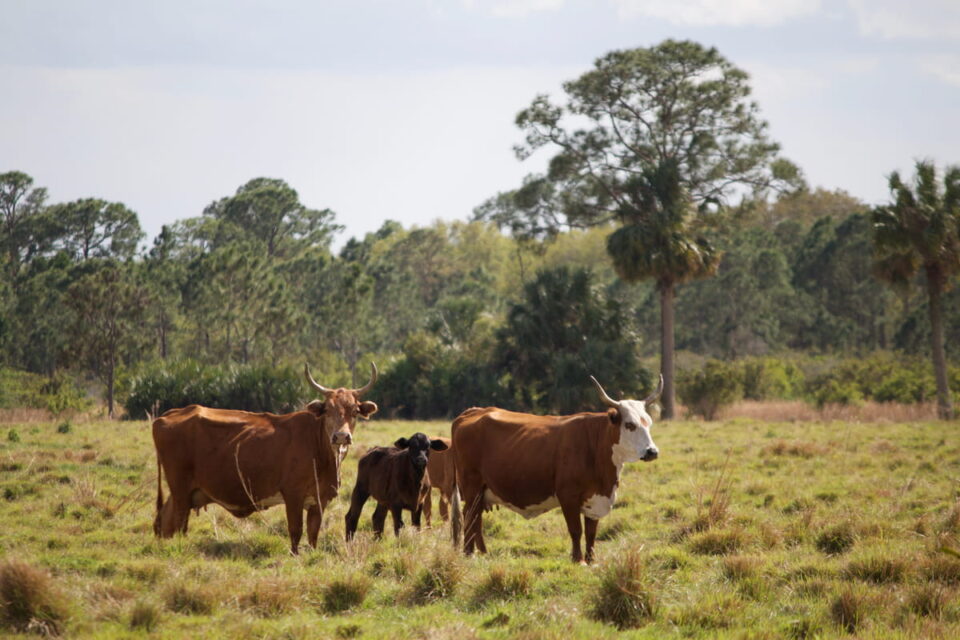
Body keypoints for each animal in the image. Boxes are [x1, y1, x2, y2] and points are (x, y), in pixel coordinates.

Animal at [152, 363, 378, 554]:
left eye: (354, 411)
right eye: (328, 410)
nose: (341, 436)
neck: (321, 454)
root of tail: (170, 414)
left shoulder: (320, 499)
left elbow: (313, 534)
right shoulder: (293, 495)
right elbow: (295, 530)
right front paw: (295, 555)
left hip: (186, 492)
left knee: (165, 523)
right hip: (181, 490)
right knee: (178, 522)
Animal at [451, 374, 662, 563]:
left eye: (649, 423)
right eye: (630, 425)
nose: (652, 451)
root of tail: (474, 412)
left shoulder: (595, 498)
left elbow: (591, 532)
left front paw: (591, 559)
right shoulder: (568, 496)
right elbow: (576, 530)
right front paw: (578, 560)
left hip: (481, 492)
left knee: (476, 520)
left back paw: (482, 553)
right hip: (472, 488)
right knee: (469, 518)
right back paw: (469, 554)